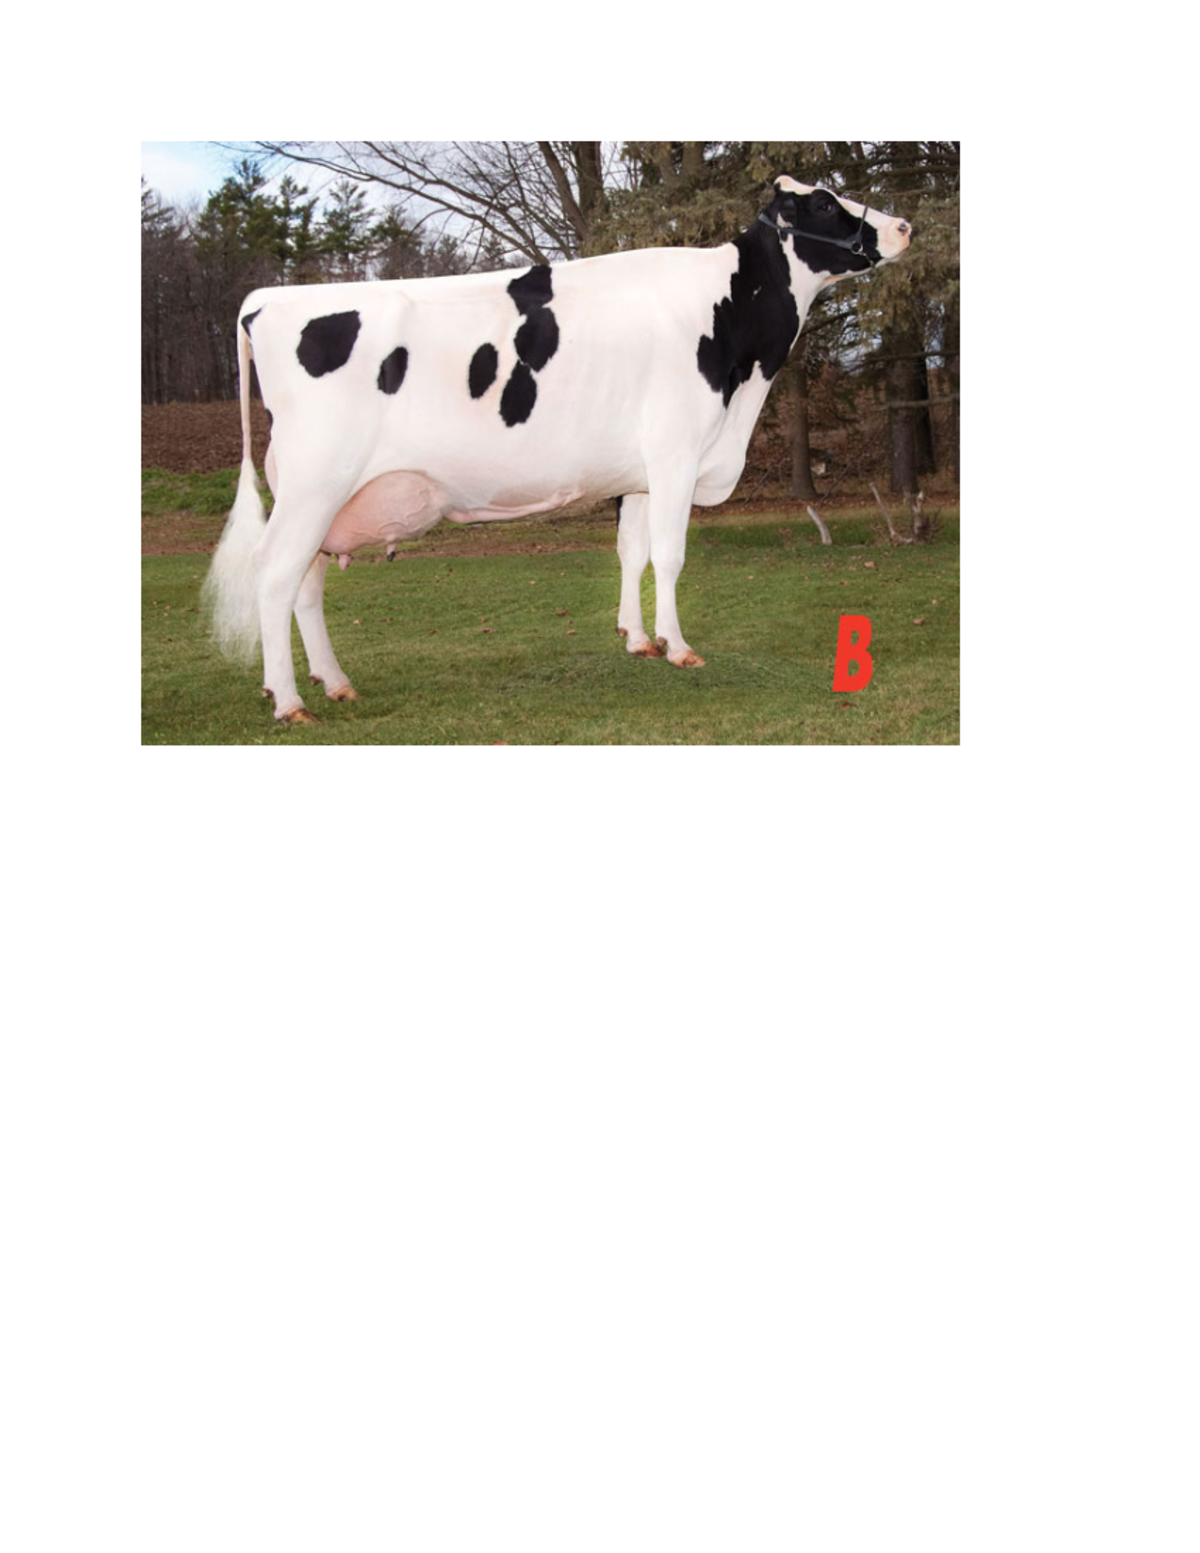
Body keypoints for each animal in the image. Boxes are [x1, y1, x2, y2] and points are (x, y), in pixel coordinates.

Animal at [203, 176, 912, 722]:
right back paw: (290, 701)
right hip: (315, 484)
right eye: (825, 204)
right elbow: (670, 556)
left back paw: (335, 682)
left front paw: (637, 640)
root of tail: (265, 301)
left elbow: (631, 552)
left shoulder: (639, 472)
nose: (904, 225)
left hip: (321, 498)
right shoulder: (676, 453)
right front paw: (679, 646)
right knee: (274, 574)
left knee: (305, 584)